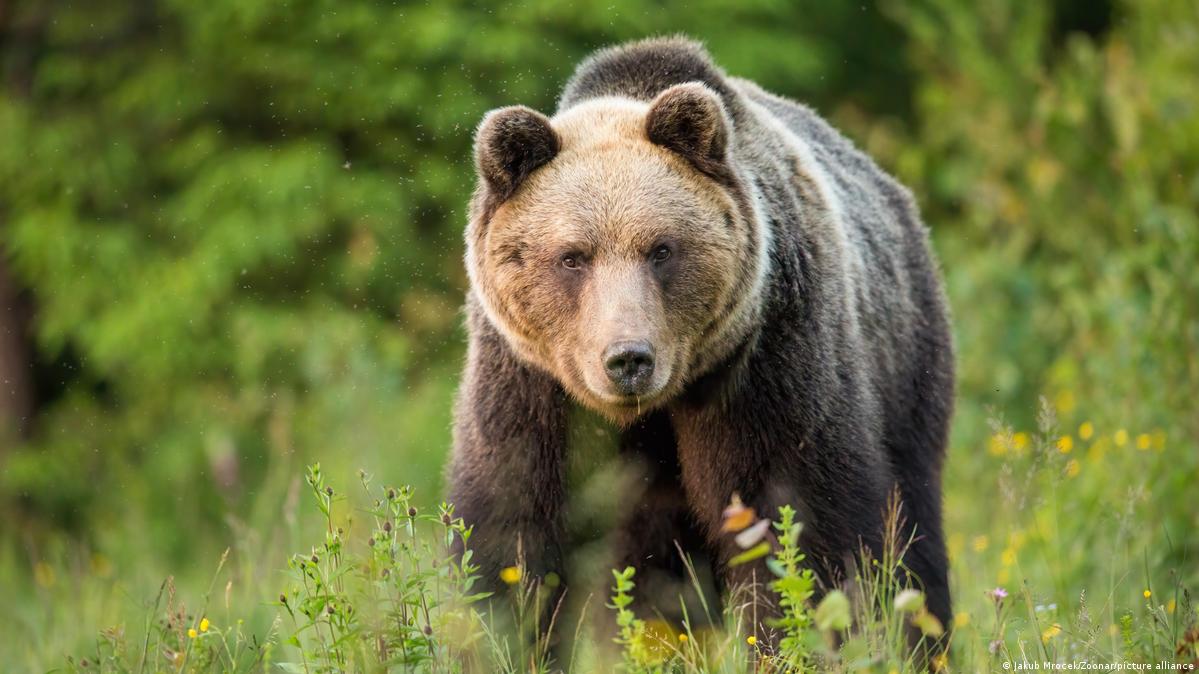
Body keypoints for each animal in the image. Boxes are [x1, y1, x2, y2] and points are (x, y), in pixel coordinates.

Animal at [447, 36, 955, 646]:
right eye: (572, 257)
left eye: (660, 249)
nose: (628, 360)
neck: (653, 406)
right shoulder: (529, 381)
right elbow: (512, 525)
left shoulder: (765, 359)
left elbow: (794, 518)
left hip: (906, 367)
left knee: (914, 528)